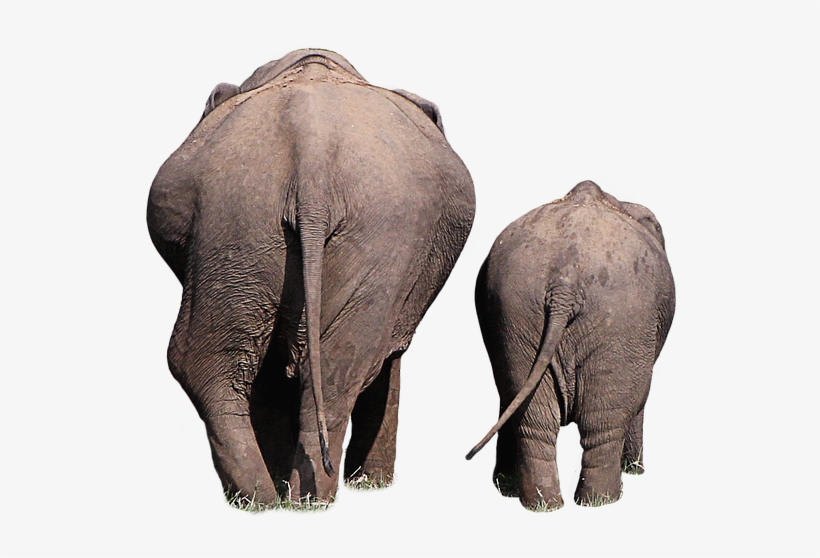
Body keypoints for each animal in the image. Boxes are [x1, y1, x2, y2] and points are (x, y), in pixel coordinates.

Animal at [147, 49, 475, 506]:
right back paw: (290, 501)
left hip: (250, 220)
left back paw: (279, 501)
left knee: (229, 363)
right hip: (259, 220)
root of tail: (312, 150)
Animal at [466, 181, 674, 511]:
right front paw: (635, 471)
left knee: (533, 420)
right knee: (603, 422)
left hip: (515, 312)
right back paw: (601, 501)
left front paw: (504, 485)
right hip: (623, 320)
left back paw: (543, 505)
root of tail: (565, 280)